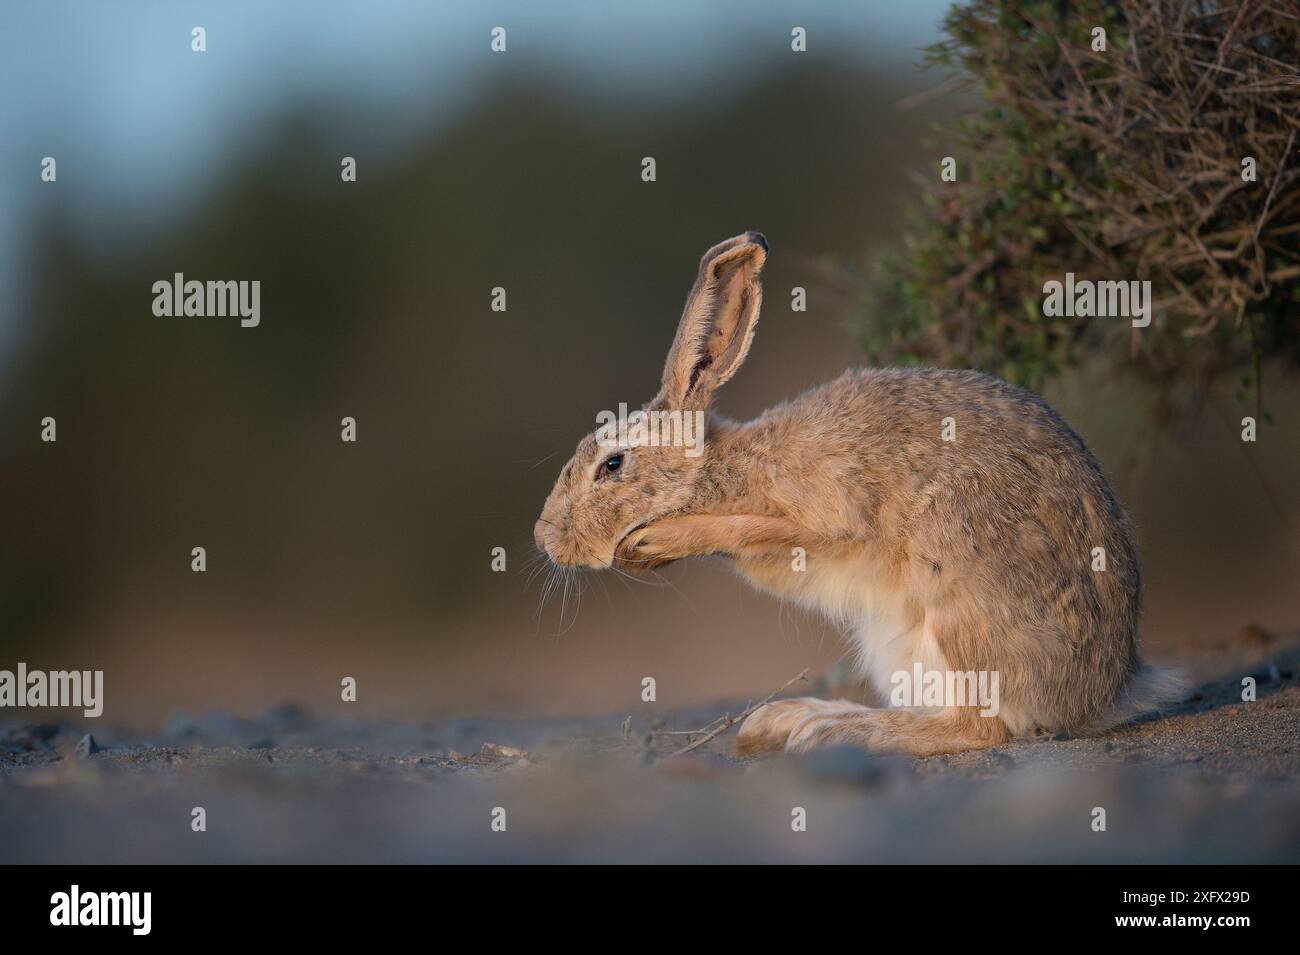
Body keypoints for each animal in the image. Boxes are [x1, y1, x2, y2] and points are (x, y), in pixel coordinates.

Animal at [534, 232, 1184, 757]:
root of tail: (1107, 691)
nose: (545, 539)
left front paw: (656, 541)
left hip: (957, 604)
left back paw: (832, 731)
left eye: (612, 464)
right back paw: (791, 718)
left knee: (982, 727)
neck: (723, 470)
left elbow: (761, 529)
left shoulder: (824, 522)